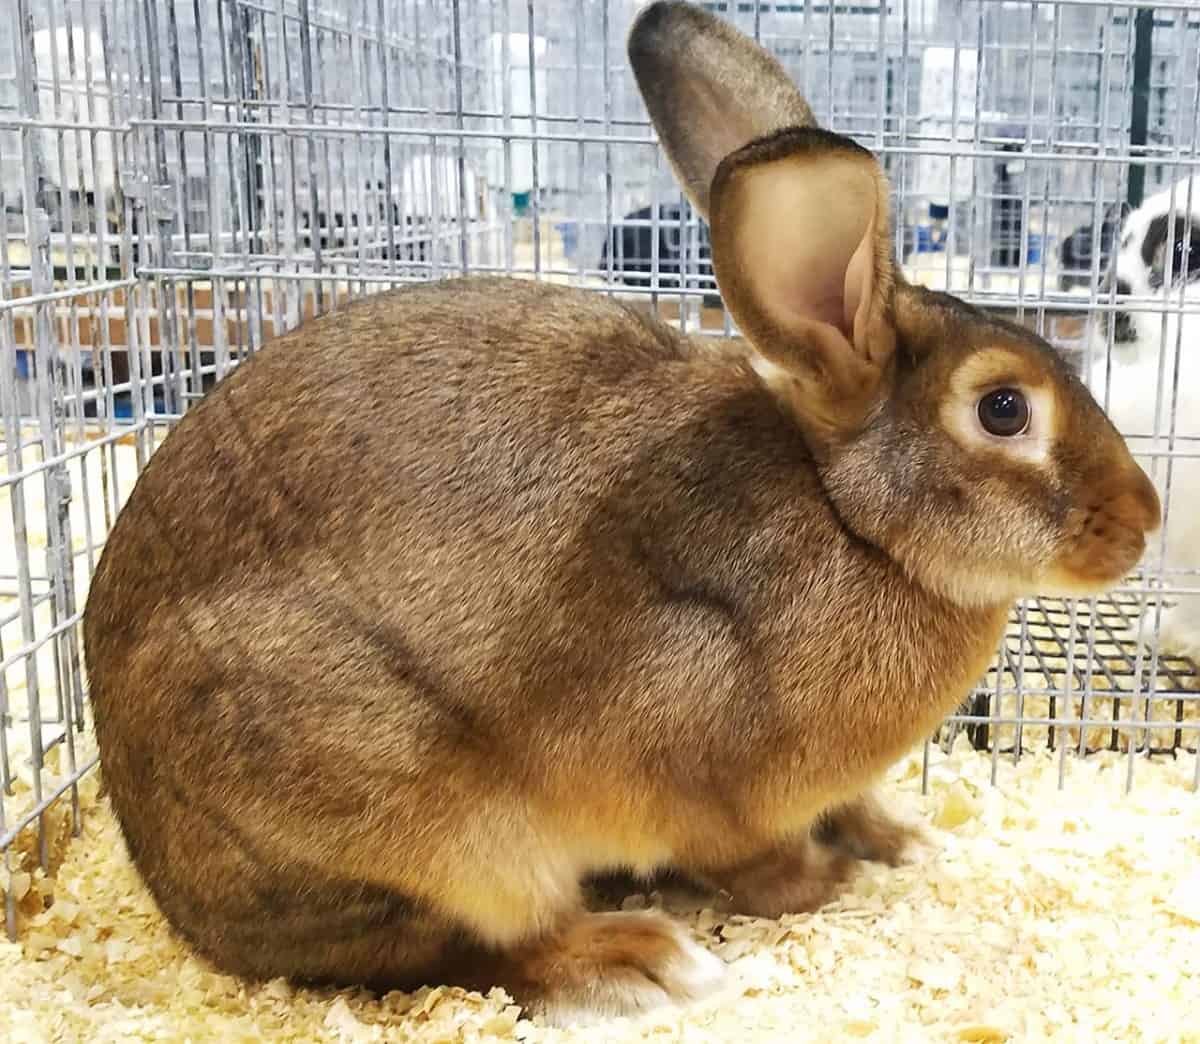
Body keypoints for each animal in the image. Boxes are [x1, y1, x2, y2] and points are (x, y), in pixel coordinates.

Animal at [82, 0, 1160, 1027]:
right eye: (1004, 409)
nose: (1144, 518)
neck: (852, 522)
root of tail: (175, 891)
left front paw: (901, 840)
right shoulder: (710, 777)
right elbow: (758, 865)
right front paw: (835, 880)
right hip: (425, 821)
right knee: (455, 948)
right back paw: (637, 962)